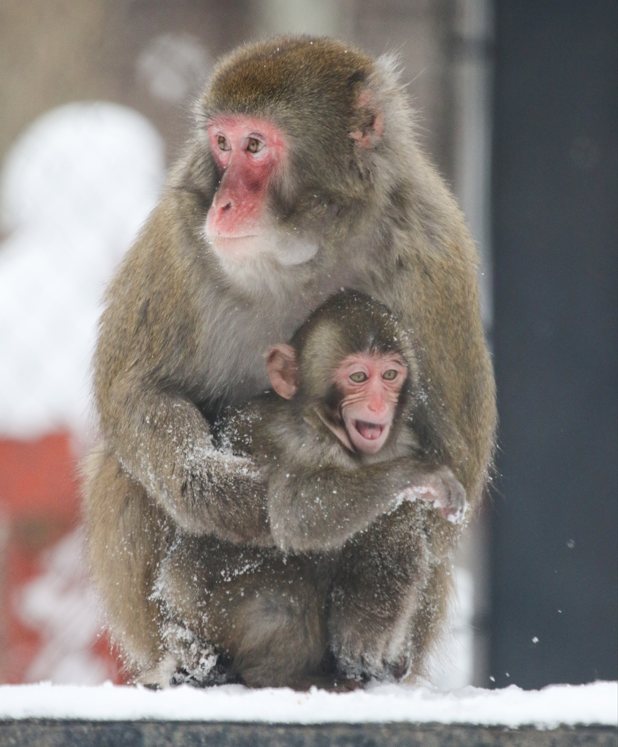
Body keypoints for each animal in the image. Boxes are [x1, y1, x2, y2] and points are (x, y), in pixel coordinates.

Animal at [157, 290, 467, 688]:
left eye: (390, 374)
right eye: (358, 376)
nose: (378, 404)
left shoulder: (399, 443)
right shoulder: (306, 440)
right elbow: (296, 512)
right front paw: (421, 475)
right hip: (209, 618)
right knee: (284, 595)